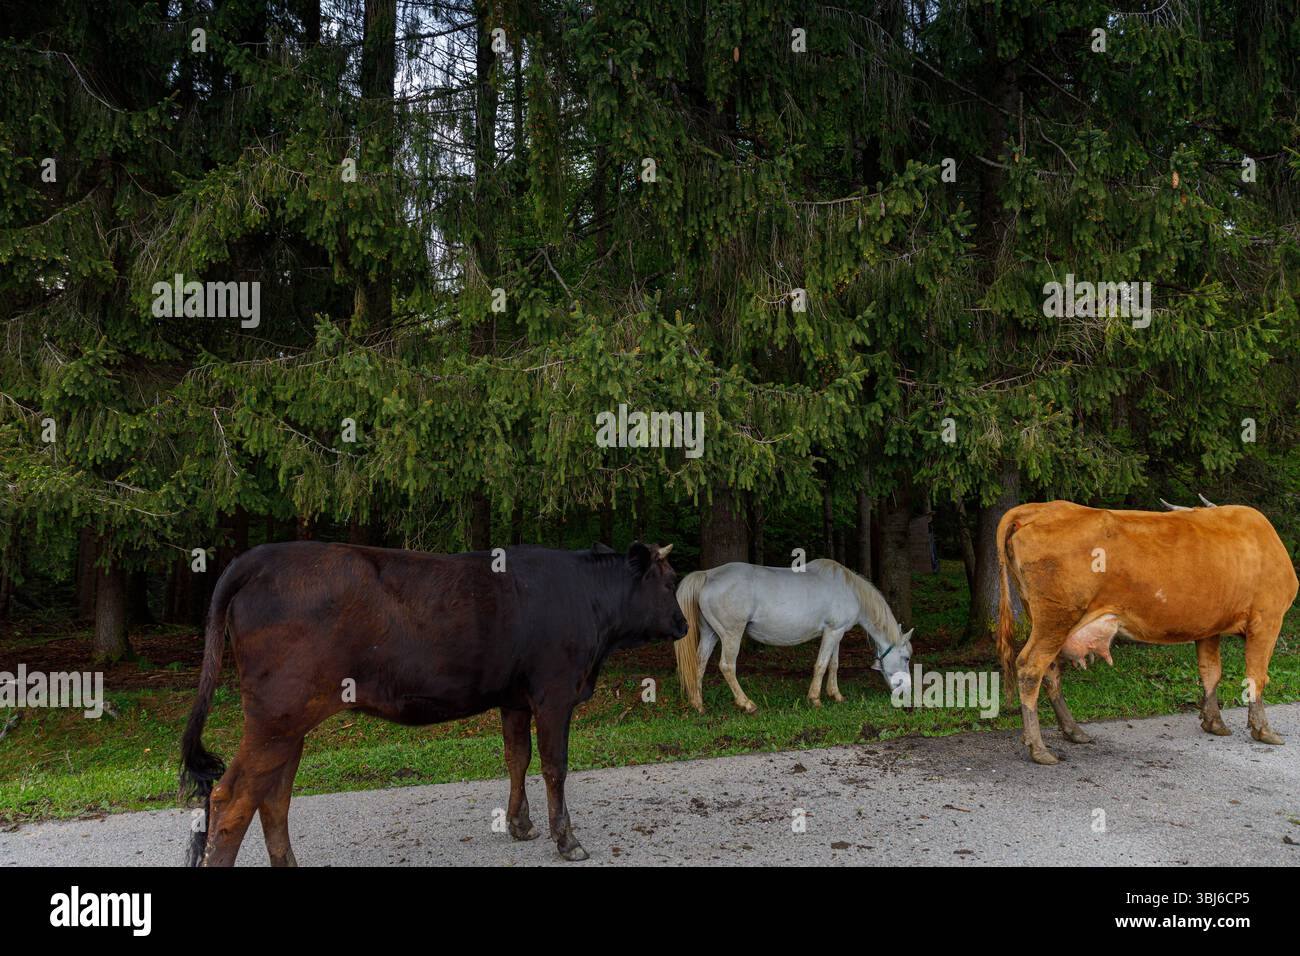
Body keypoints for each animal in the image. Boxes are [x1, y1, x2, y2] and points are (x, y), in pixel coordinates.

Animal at [179, 541, 687, 865]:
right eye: (669, 584)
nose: (683, 624)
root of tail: (257, 558)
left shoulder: (515, 698)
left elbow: (516, 758)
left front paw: (520, 825)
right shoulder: (554, 693)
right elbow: (554, 767)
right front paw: (567, 840)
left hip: (289, 721)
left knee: (273, 798)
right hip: (276, 716)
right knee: (231, 800)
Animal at [673, 559, 914, 713]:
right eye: (907, 657)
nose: (906, 691)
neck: (849, 590)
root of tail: (708, 575)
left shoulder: (836, 633)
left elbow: (833, 664)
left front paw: (835, 695)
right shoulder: (832, 632)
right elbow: (821, 665)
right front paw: (815, 699)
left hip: (710, 634)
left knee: (699, 663)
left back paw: (698, 705)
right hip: (731, 635)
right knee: (727, 666)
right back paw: (747, 704)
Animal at [996, 500, 1298, 764]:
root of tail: (1039, 509)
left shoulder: (1209, 627)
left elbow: (1210, 671)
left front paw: (1214, 722)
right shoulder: (1267, 619)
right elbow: (1257, 675)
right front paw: (1263, 730)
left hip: (1046, 619)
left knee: (1050, 671)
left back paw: (1074, 732)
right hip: (1056, 617)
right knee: (1030, 668)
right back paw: (1038, 748)